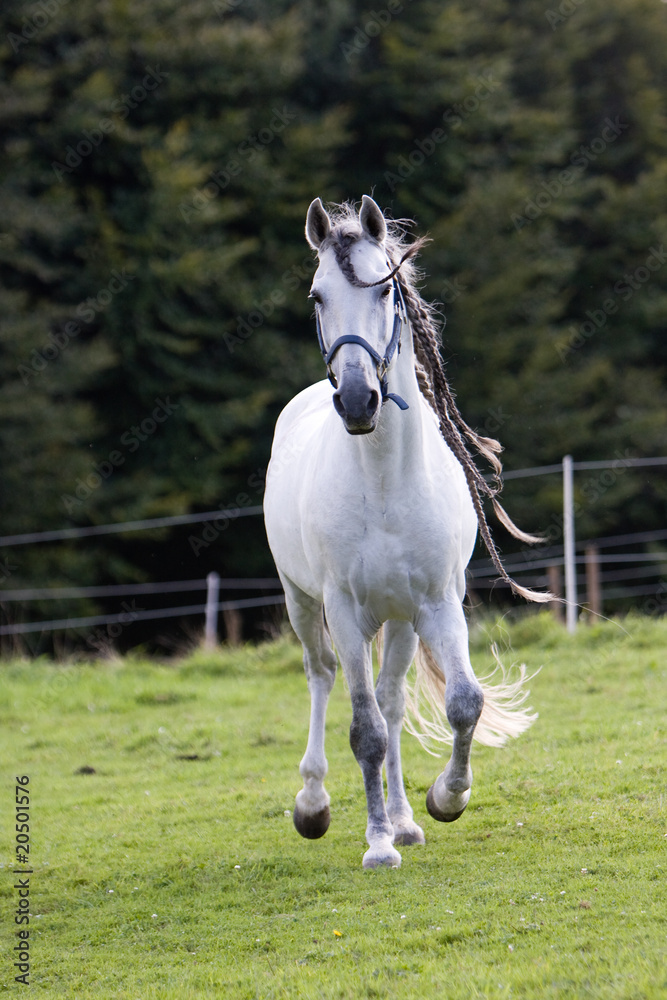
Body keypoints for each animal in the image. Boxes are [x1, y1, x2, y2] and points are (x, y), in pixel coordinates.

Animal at [264, 196, 549, 869]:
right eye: (317, 295)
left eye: (386, 288)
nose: (358, 400)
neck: (387, 484)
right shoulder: (342, 610)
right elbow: (363, 729)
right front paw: (376, 847)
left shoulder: (439, 603)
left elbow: (463, 703)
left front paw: (446, 799)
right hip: (303, 602)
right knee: (322, 677)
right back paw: (315, 804)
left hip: (397, 620)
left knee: (392, 702)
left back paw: (403, 820)